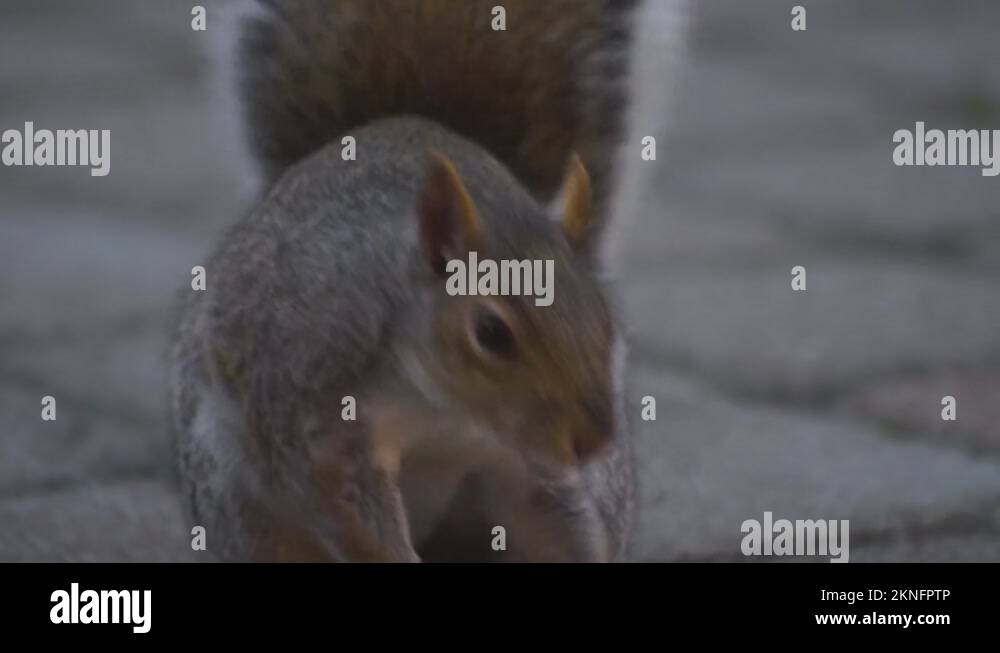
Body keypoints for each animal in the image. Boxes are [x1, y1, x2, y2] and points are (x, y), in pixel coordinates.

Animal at [170, 0, 658, 562]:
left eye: (607, 321)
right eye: (491, 334)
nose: (593, 442)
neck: (445, 412)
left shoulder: (521, 466)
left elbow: (557, 521)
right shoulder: (312, 408)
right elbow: (346, 509)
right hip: (240, 506)